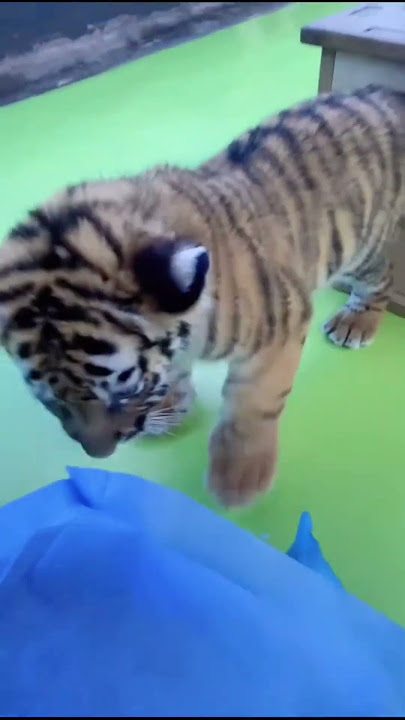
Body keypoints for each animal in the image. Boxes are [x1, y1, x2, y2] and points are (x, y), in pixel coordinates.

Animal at [1, 84, 404, 508]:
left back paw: (355, 322)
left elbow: (255, 401)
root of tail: (389, 92)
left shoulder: (281, 322)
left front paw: (239, 479)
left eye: (125, 395)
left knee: (382, 275)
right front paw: (171, 408)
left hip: (363, 249)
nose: (100, 454)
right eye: (50, 400)